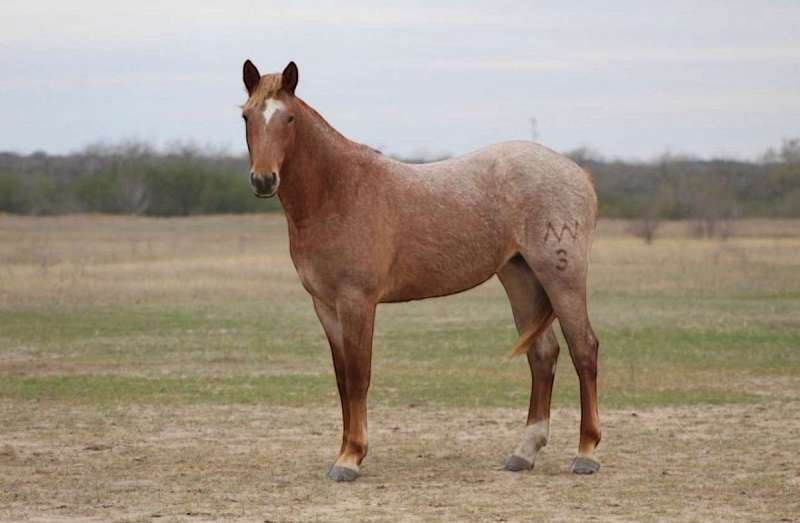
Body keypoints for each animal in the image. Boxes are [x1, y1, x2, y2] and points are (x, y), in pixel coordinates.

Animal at [241, 60, 602, 482]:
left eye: (290, 118)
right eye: (247, 116)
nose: (264, 179)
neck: (338, 191)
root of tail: (578, 173)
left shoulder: (357, 302)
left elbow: (359, 375)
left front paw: (351, 458)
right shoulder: (325, 306)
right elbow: (342, 378)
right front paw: (344, 452)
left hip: (563, 277)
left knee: (584, 350)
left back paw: (586, 453)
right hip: (521, 279)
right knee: (543, 355)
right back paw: (523, 452)